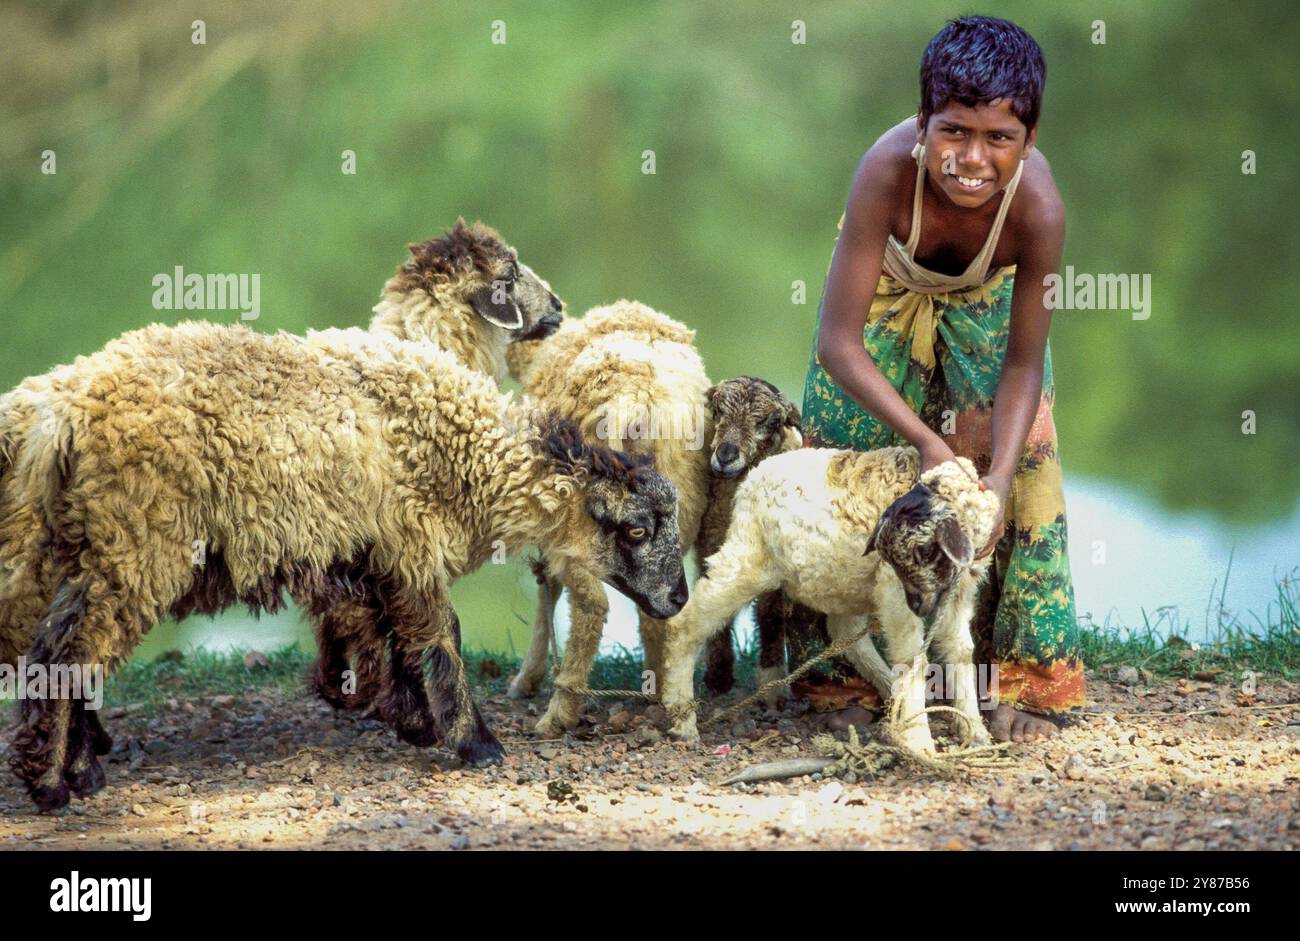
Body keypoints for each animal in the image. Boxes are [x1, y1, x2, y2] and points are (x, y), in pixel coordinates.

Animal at [3, 320, 688, 811]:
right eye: (637, 529)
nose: (678, 600)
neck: (468, 455)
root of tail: (60, 415)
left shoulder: (371, 554)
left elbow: (392, 635)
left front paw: (412, 720)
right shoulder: (409, 542)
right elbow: (440, 636)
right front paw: (474, 742)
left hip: (86, 549)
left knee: (59, 645)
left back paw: (76, 769)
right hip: (137, 545)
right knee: (70, 653)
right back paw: (54, 784)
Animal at [501, 299, 718, 737]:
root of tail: (635, 400)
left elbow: (546, 592)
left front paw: (527, 677)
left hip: (578, 521)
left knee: (591, 607)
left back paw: (559, 712)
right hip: (681, 501)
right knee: (663, 607)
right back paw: (661, 689)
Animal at [658, 446, 1003, 752]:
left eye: (926, 551)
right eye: (903, 557)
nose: (920, 606)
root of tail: (755, 476)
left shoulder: (959, 592)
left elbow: (960, 650)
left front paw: (975, 731)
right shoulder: (893, 590)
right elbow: (912, 658)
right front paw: (919, 741)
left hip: (843, 579)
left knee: (843, 633)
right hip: (748, 557)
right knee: (687, 623)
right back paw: (682, 718)